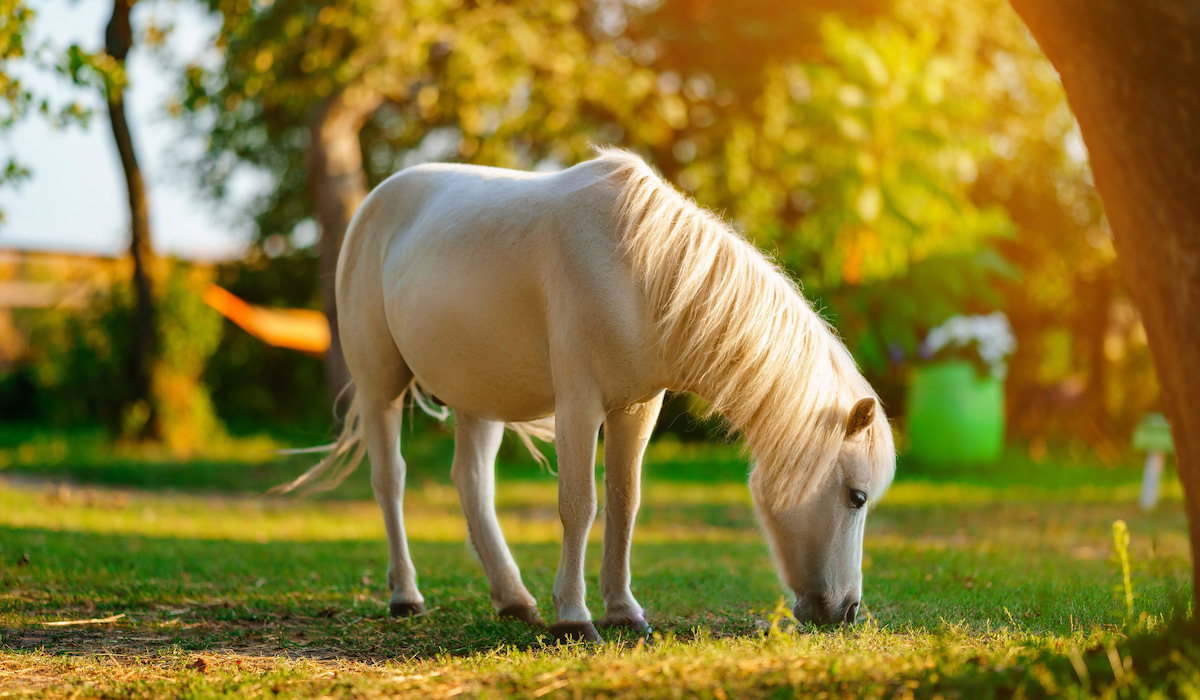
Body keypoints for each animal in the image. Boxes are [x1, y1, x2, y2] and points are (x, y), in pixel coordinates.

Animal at [279, 149, 896, 641]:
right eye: (857, 497)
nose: (848, 611)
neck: (642, 271)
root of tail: (375, 202)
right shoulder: (579, 406)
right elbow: (579, 505)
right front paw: (574, 619)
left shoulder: (636, 409)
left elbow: (624, 502)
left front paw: (623, 612)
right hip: (380, 383)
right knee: (391, 479)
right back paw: (406, 597)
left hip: (478, 397)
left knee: (473, 484)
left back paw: (514, 601)